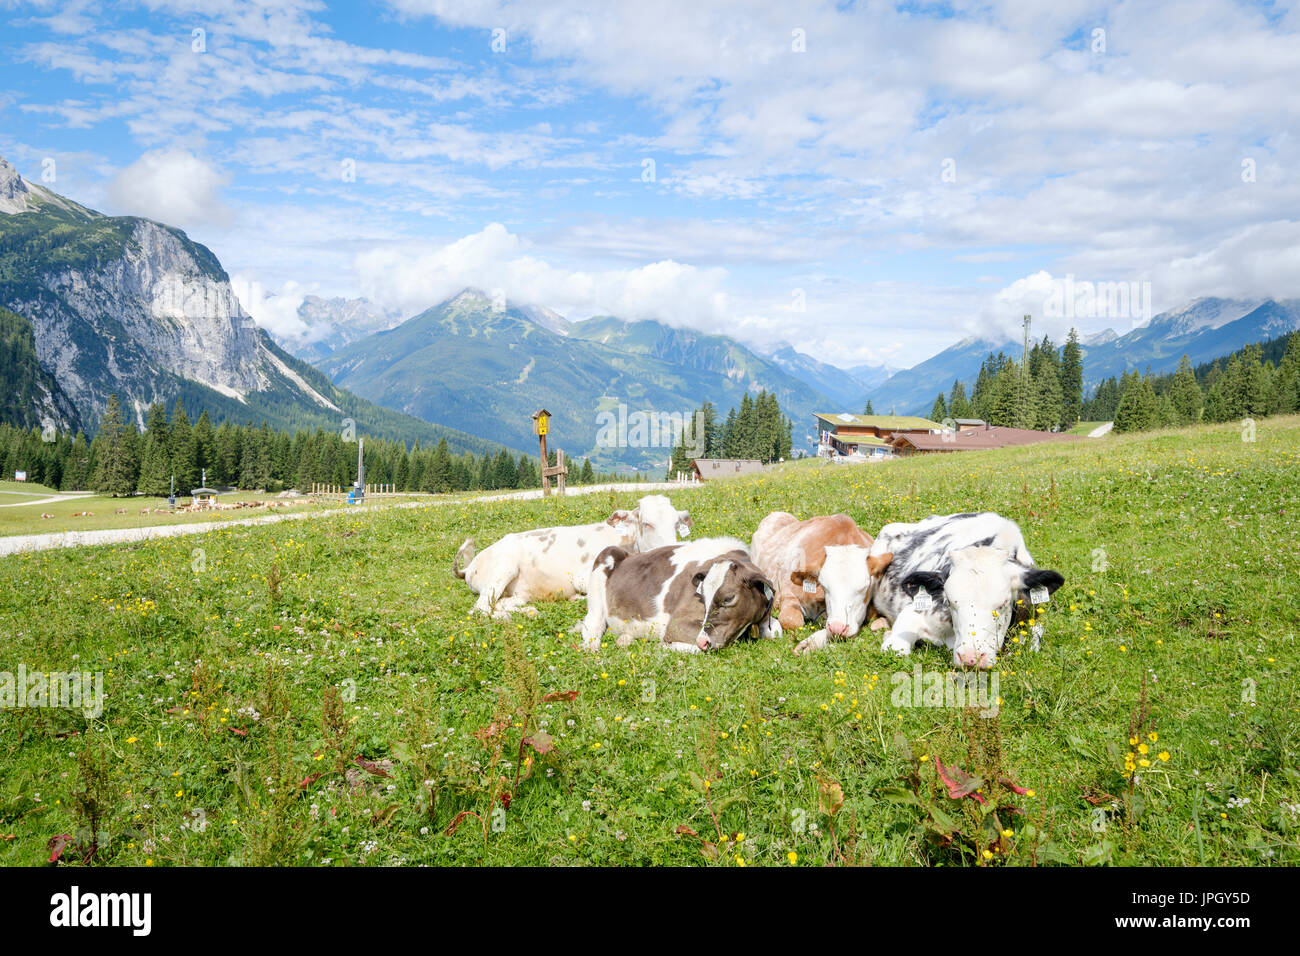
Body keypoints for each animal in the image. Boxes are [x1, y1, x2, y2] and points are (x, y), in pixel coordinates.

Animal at [453, 494, 692, 618]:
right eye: (646, 523)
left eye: (676, 524)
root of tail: (470, 566)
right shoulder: (581, 576)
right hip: (504, 568)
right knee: (480, 608)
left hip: (518, 591)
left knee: (503, 602)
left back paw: (529, 610)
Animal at [579, 537, 780, 654]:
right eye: (703, 597)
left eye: (728, 598)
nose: (703, 640)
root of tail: (628, 554)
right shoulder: (675, 625)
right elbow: (693, 647)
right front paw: (664, 645)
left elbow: (776, 631)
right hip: (602, 569)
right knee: (593, 625)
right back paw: (591, 647)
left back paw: (624, 639)